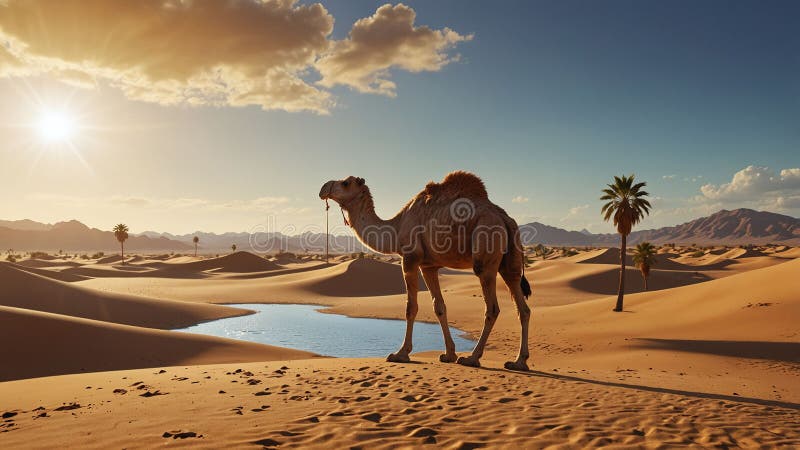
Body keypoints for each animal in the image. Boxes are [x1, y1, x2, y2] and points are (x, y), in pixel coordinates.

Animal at [319, 171, 532, 371]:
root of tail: (505, 219)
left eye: (345, 183)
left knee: (492, 308)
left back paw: (472, 358)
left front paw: (401, 353)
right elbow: (439, 307)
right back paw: (519, 361)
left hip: (485, 255)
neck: (396, 227)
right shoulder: (428, 266)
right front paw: (448, 354)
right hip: (510, 263)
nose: (323, 188)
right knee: (523, 308)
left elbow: (410, 307)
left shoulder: (410, 259)